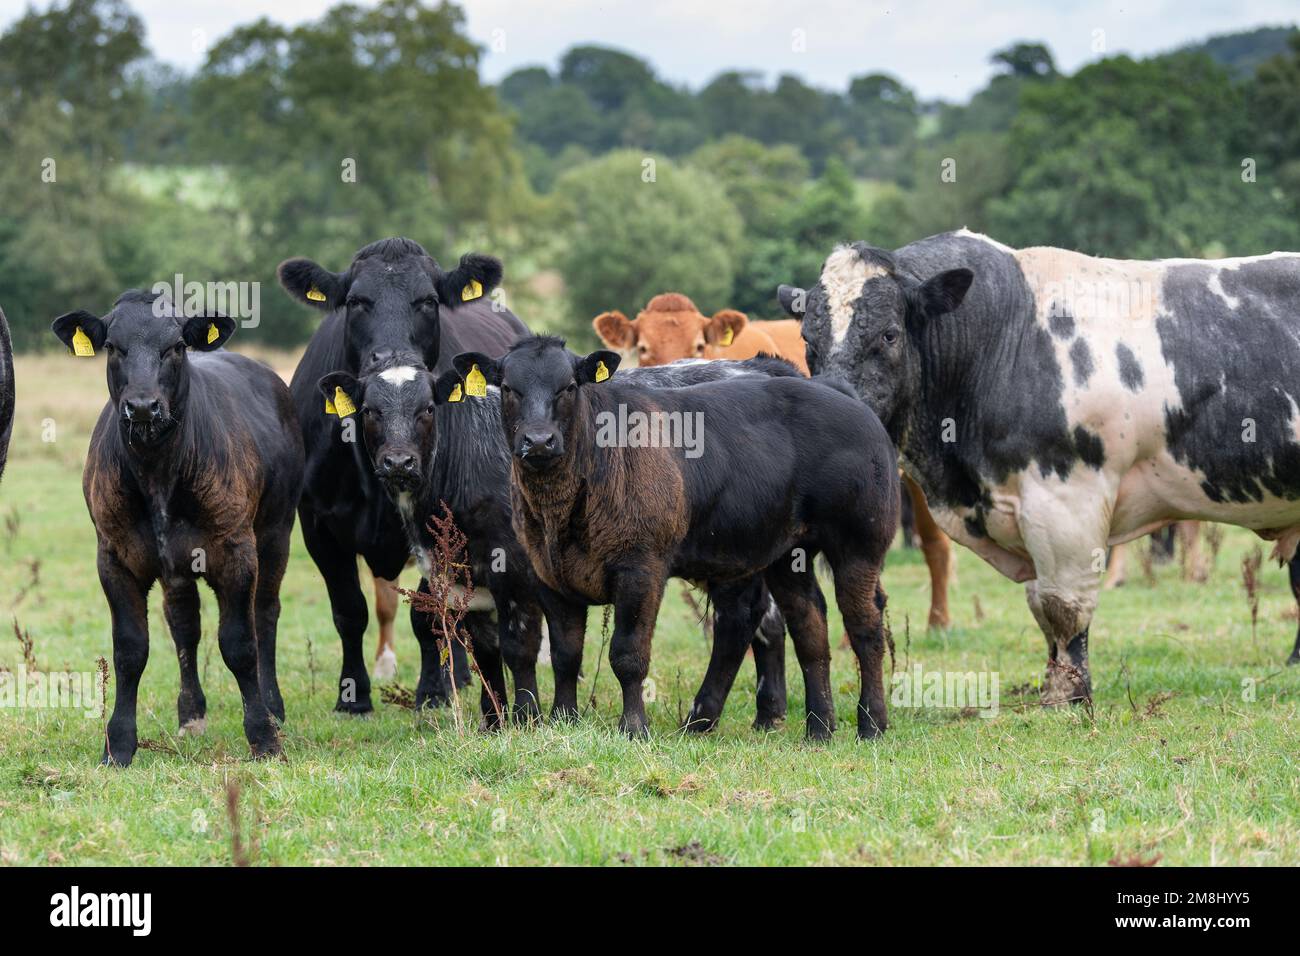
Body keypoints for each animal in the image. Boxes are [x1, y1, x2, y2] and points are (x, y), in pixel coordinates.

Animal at [51, 290, 303, 766]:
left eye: (176, 346)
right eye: (112, 345)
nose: (142, 406)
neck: (157, 473)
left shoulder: (237, 550)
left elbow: (240, 643)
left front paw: (263, 737)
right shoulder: (113, 555)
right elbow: (131, 648)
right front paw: (118, 745)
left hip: (276, 532)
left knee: (266, 613)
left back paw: (273, 706)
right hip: (177, 564)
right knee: (185, 621)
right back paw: (191, 714)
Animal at [278, 237, 525, 714]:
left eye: (428, 301)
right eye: (355, 301)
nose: (389, 358)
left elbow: (426, 613)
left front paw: (432, 691)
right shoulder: (317, 525)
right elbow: (349, 610)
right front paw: (352, 695)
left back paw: (457, 676)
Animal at [321, 351, 805, 727]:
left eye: (426, 408)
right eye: (369, 411)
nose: (398, 462)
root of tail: (764, 365)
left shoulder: (516, 568)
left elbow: (519, 647)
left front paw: (526, 717)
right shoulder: (463, 577)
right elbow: (486, 653)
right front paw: (494, 721)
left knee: (740, 619)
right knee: (768, 621)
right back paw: (769, 713)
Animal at [450, 335, 900, 740]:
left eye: (569, 387)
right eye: (510, 388)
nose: (540, 440)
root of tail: (835, 390)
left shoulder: (641, 567)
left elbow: (628, 655)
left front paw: (634, 728)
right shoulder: (547, 573)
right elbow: (566, 655)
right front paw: (563, 720)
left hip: (859, 544)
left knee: (864, 625)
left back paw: (871, 724)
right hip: (788, 554)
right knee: (808, 627)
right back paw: (817, 728)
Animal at [778, 229, 1300, 705]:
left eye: (888, 334)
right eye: (807, 340)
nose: (836, 414)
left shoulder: (1067, 502)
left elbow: (1062, 605)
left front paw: (1069, 693)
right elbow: (1040, 608)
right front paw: (1051, 683)